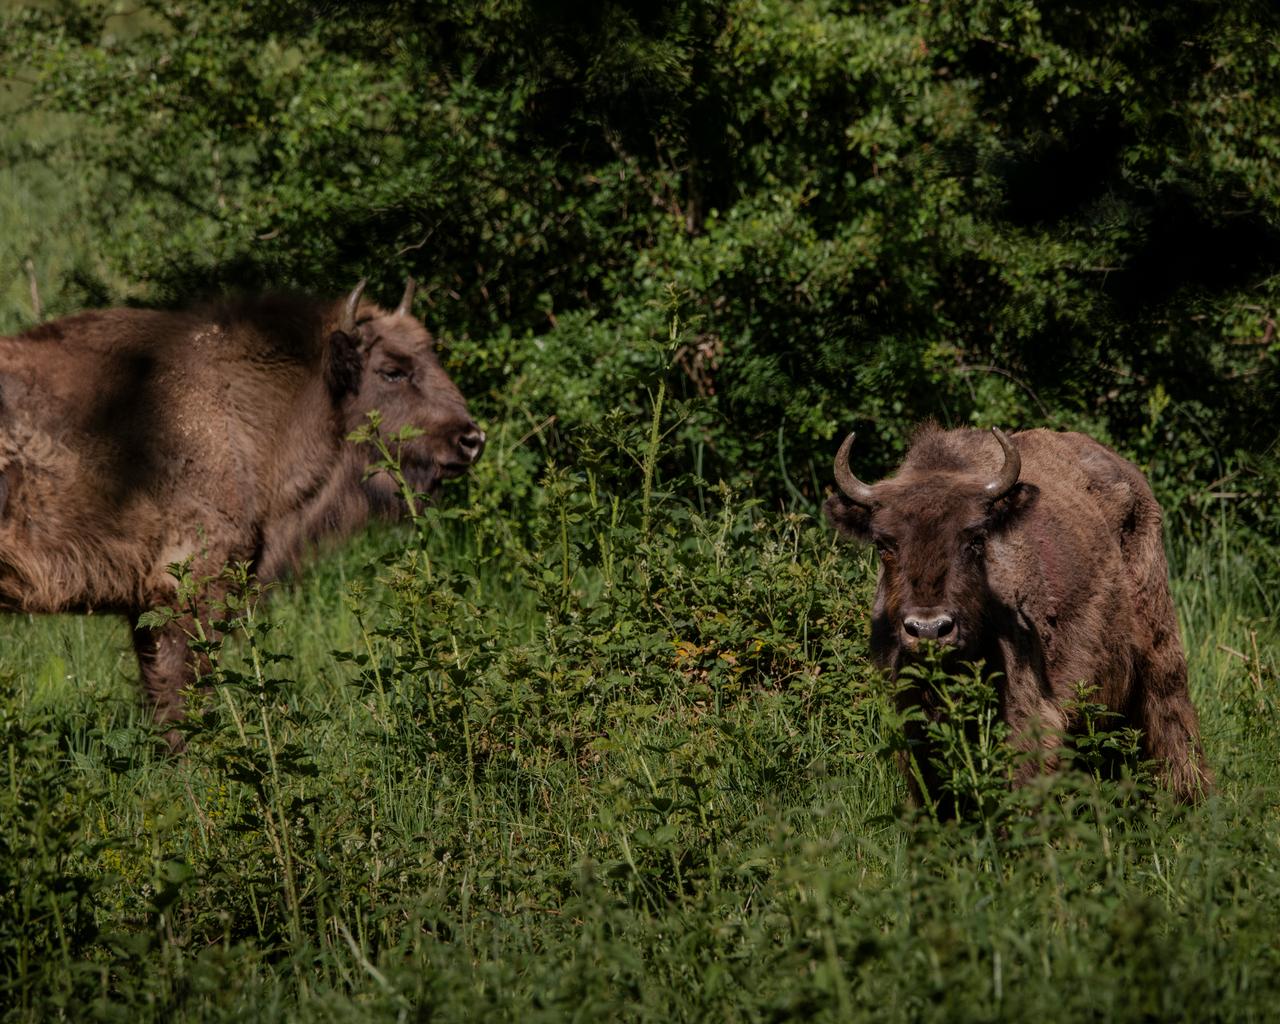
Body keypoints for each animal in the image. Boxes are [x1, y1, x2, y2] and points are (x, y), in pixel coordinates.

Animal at [0, 279, 483, 738]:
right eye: (392, 371)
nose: (471, 438)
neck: (241, 408)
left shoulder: (148, 607)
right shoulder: (189, 588)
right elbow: (184, 692)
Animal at [825, 425, 1211, 804]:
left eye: (975, 540)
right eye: (884, 545)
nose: (929, 629)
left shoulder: (1025, 708)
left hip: (1159, 643)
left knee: (1170, 712)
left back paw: (1188, 796)